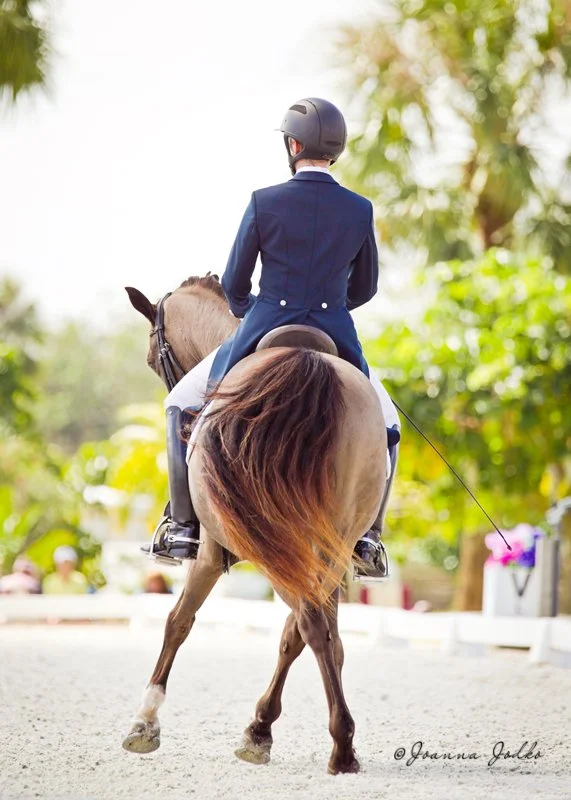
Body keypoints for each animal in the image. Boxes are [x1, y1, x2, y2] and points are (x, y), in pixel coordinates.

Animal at [122, 275, 386, 775]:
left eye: (150, 358)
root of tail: (304, 359)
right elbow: (313, 639)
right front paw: (261, 729)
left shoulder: (210, 551)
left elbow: (178, 620)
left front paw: (145, 721)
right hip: (327, 538)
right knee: (312, 628)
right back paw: (330, 742)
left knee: (309, 623)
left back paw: (339, 747)